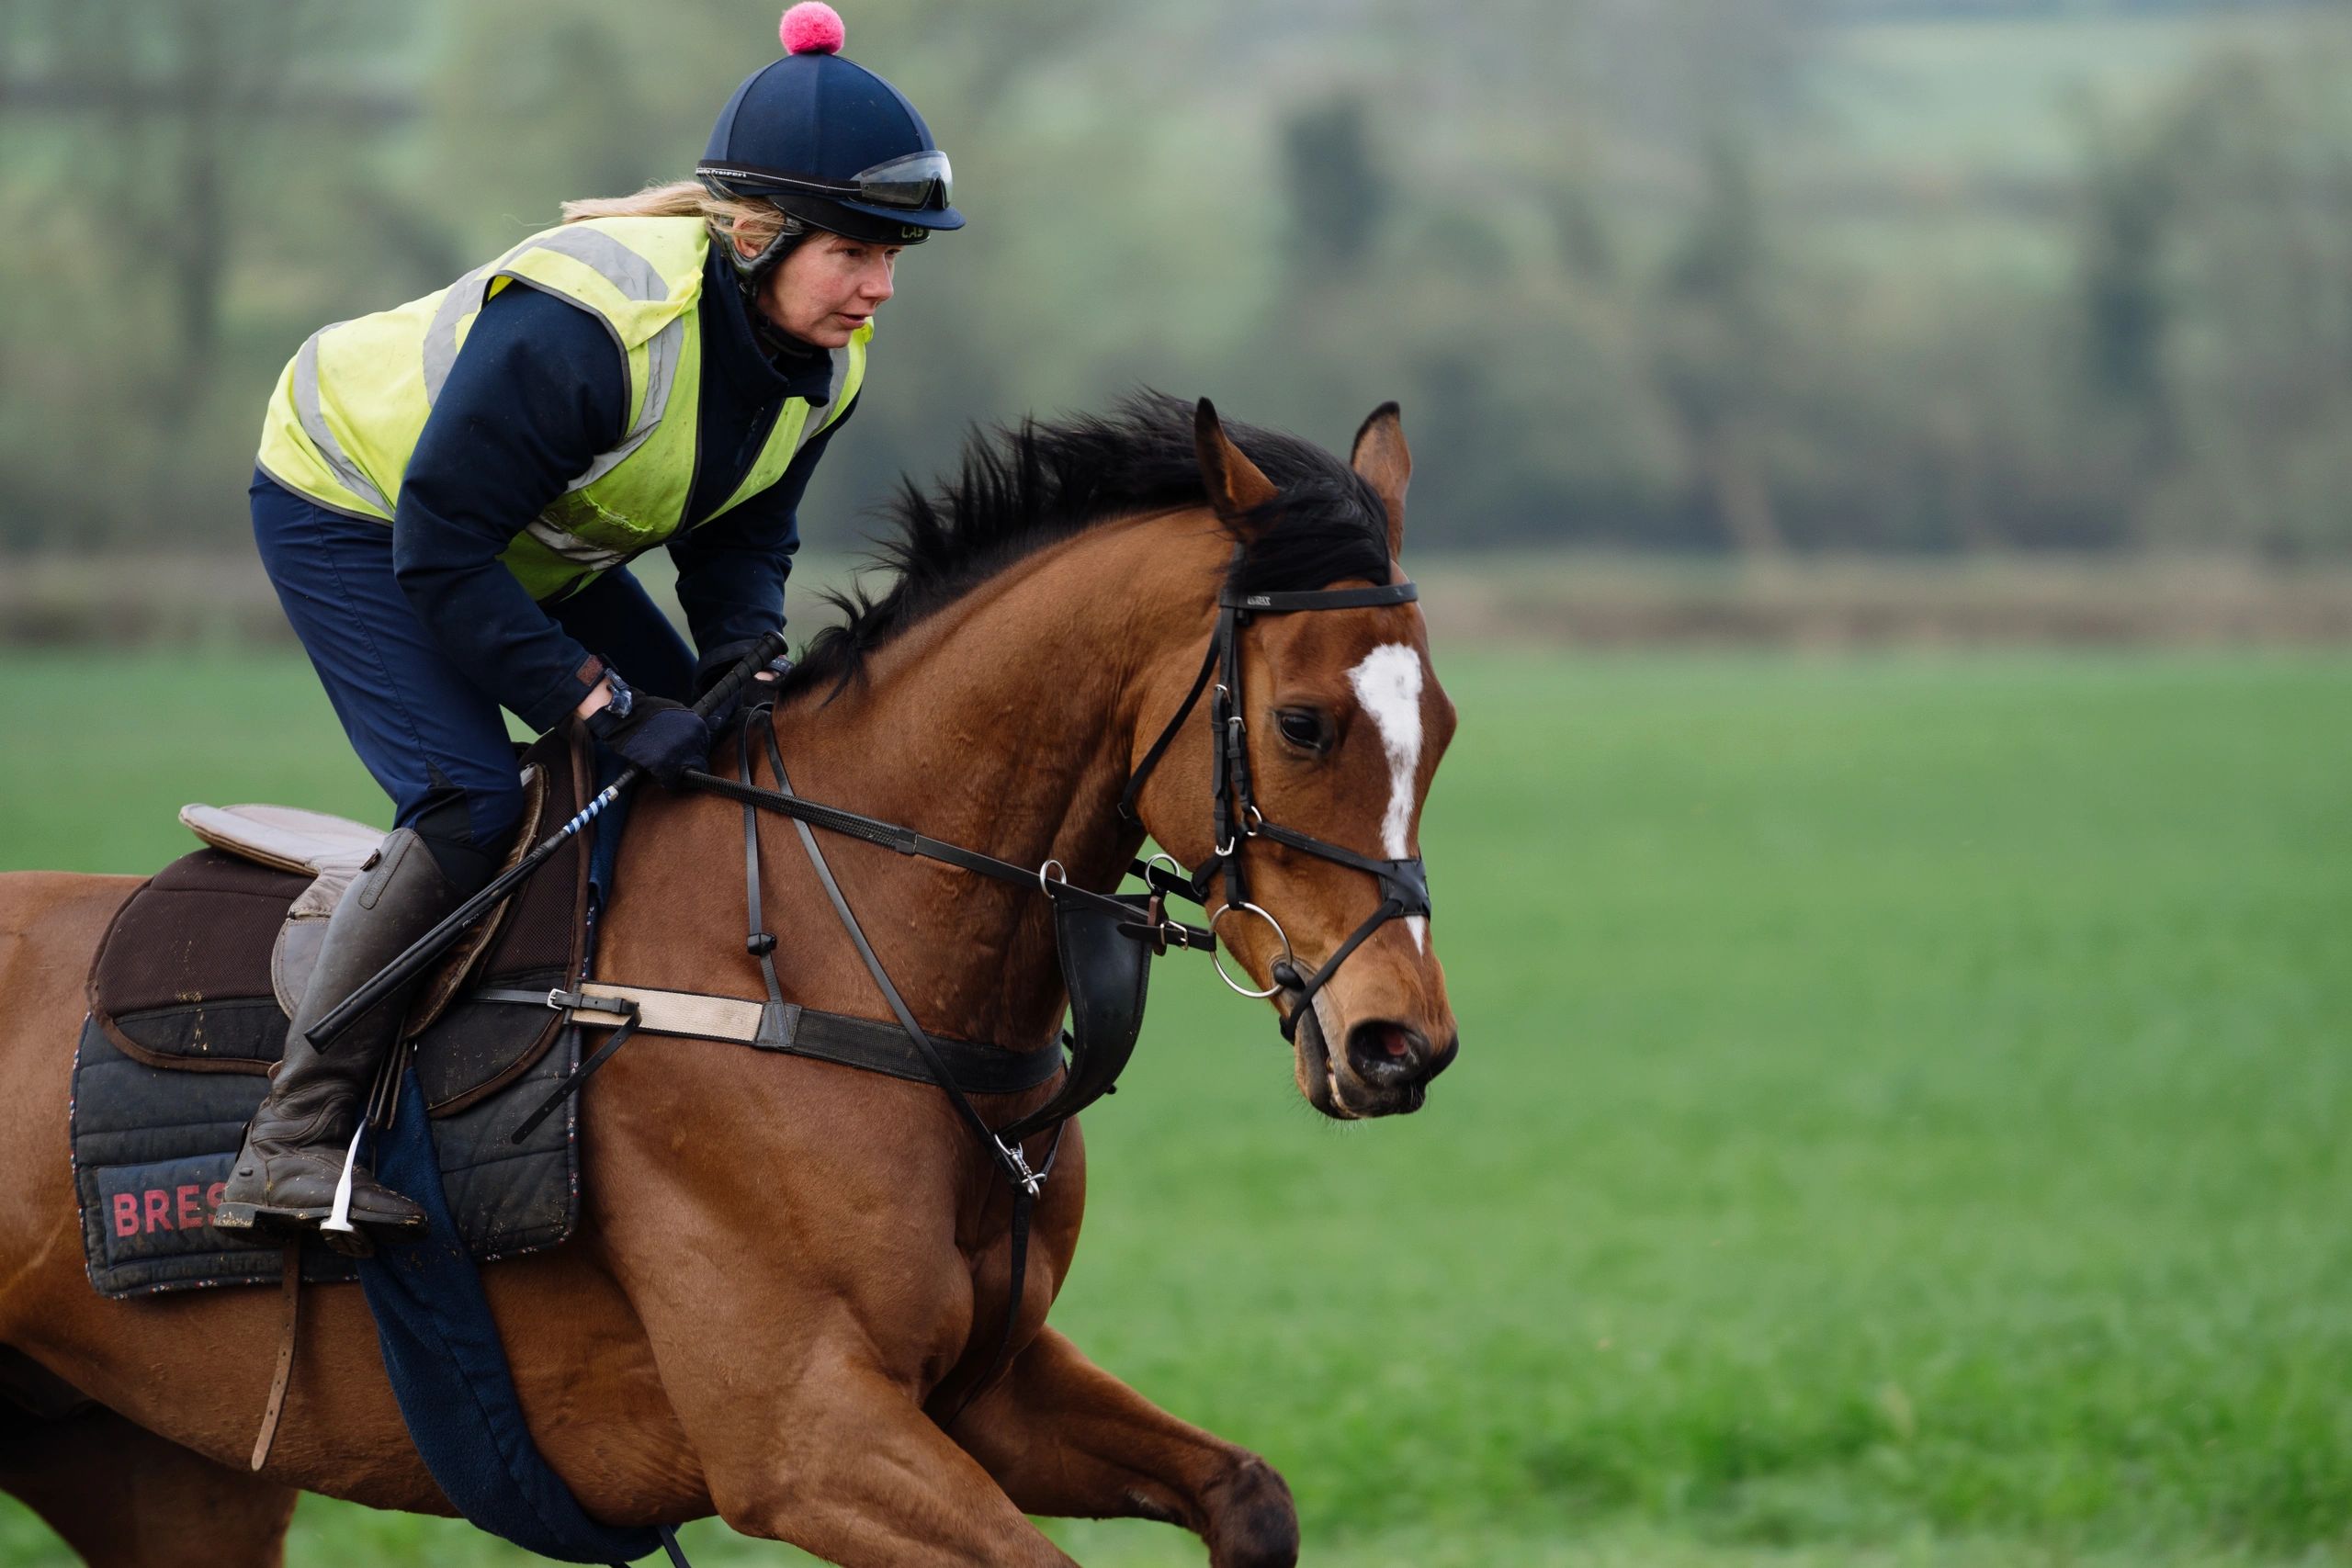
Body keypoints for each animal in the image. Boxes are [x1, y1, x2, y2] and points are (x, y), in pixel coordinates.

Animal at [0, 395, 1458, 1567]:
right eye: (1302, 723)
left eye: (1438, 727)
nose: (1401, 1043)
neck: (838, 955)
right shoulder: (803, 1434)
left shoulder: (985, 1384)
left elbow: (1251, 1493)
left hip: (157, 1471)